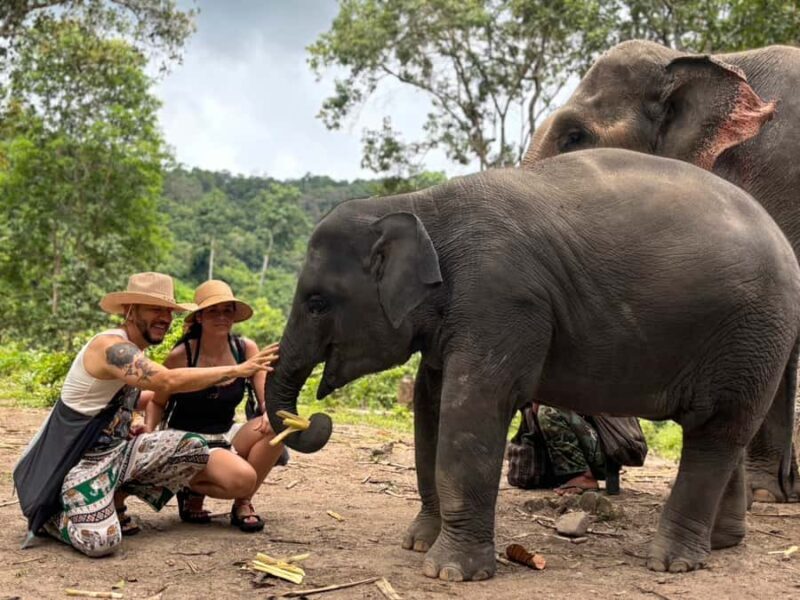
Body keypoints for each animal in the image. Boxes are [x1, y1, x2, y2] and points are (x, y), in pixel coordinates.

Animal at [266, 149, 800, 579]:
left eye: (317, 303)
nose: (311, 420)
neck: (419, 204)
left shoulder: (501, 300)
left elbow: (473, 406)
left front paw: (449, 572)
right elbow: (429, 404)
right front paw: (418, 543)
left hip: (754, 330)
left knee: (716, 432)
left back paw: (673, 563)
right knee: (723, 430)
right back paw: (720, 544)